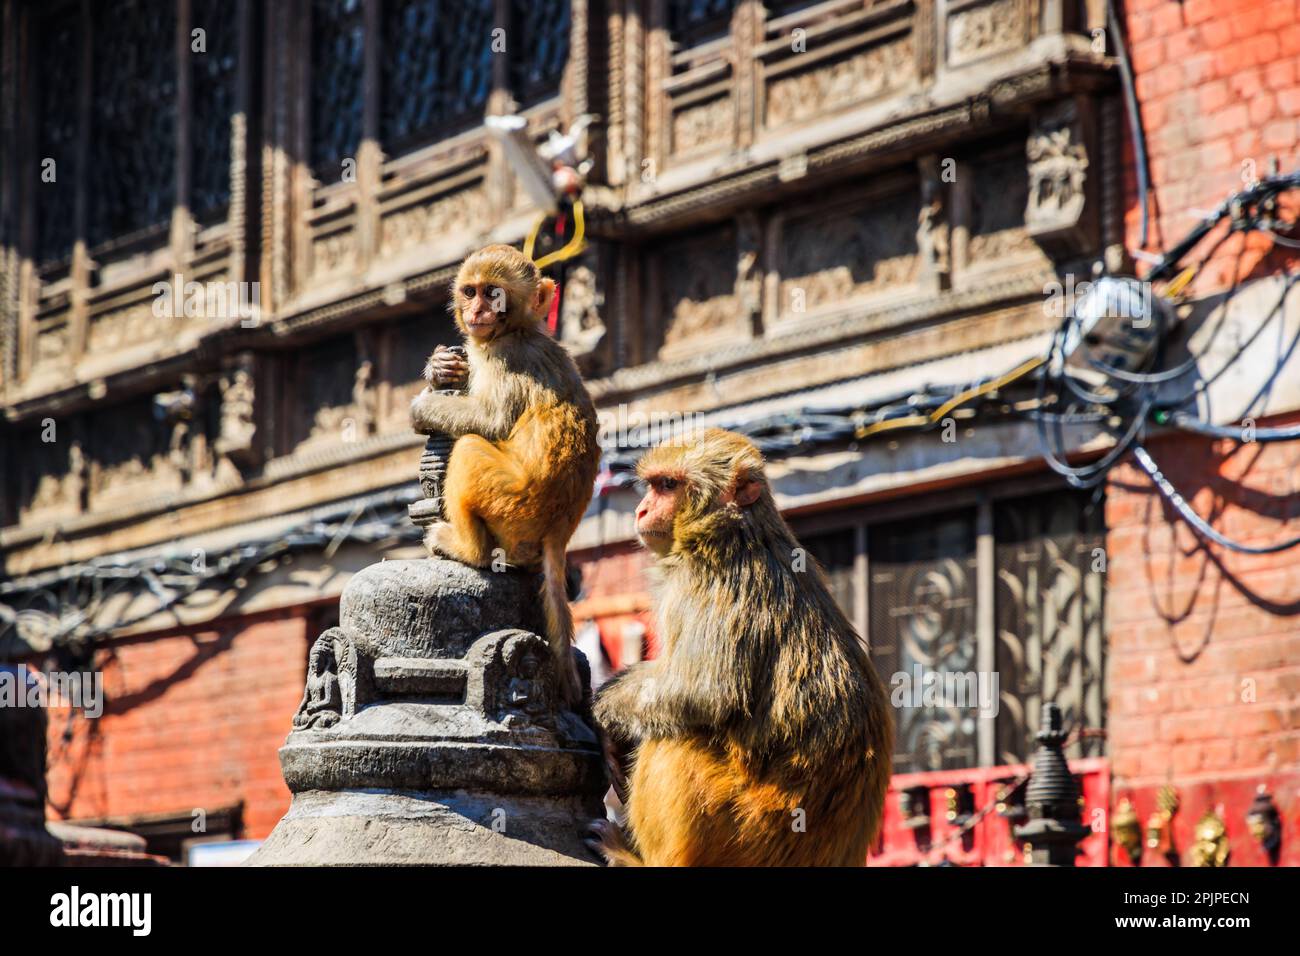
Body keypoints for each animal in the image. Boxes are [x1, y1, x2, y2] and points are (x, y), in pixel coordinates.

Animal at [410, 244, 600, 706]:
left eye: (493, 293)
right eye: (471, 291)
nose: (478, 310)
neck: (512, 329)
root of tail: (559, 531)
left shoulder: (502, 359)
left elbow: (490, 421)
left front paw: (421, 407)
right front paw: (439, 368)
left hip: (513, 505)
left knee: (469, 448)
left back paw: (465, 548)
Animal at [587, 428, 893, 866]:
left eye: (668, 486)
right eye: (653, 486)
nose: (642, 511)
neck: (738, 530)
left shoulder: (705, 579)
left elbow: (706, 693)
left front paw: (606, 710)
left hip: (747, 828)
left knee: (677, 737)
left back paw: (639, 858)